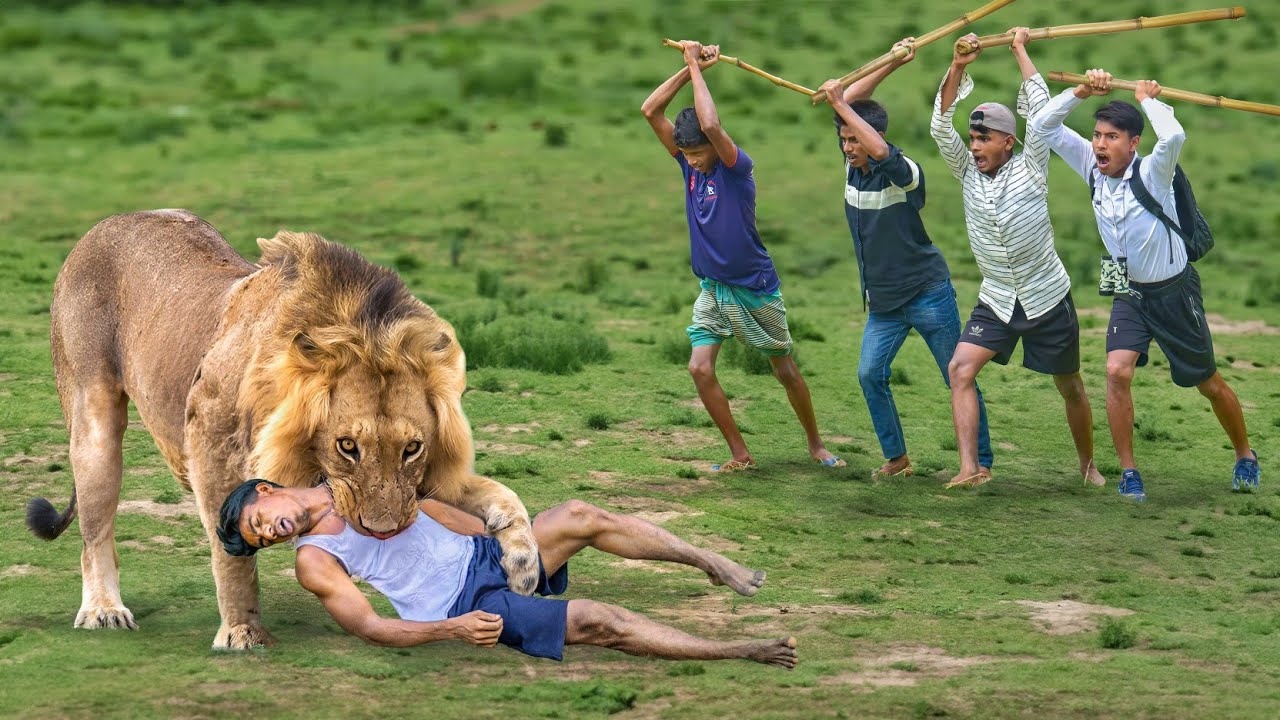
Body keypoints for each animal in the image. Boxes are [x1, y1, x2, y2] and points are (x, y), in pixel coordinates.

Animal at [26, 210, 541, 649]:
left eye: (412, 448)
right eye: (347, 446)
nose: (383, 532)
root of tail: (106, 223)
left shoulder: (425, 481)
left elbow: (500, 494)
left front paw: (523, 565)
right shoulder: (210, 439)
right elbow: (232, 557)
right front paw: (242, 634)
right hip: (94, 422)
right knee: (94, 531)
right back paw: (104, 609)